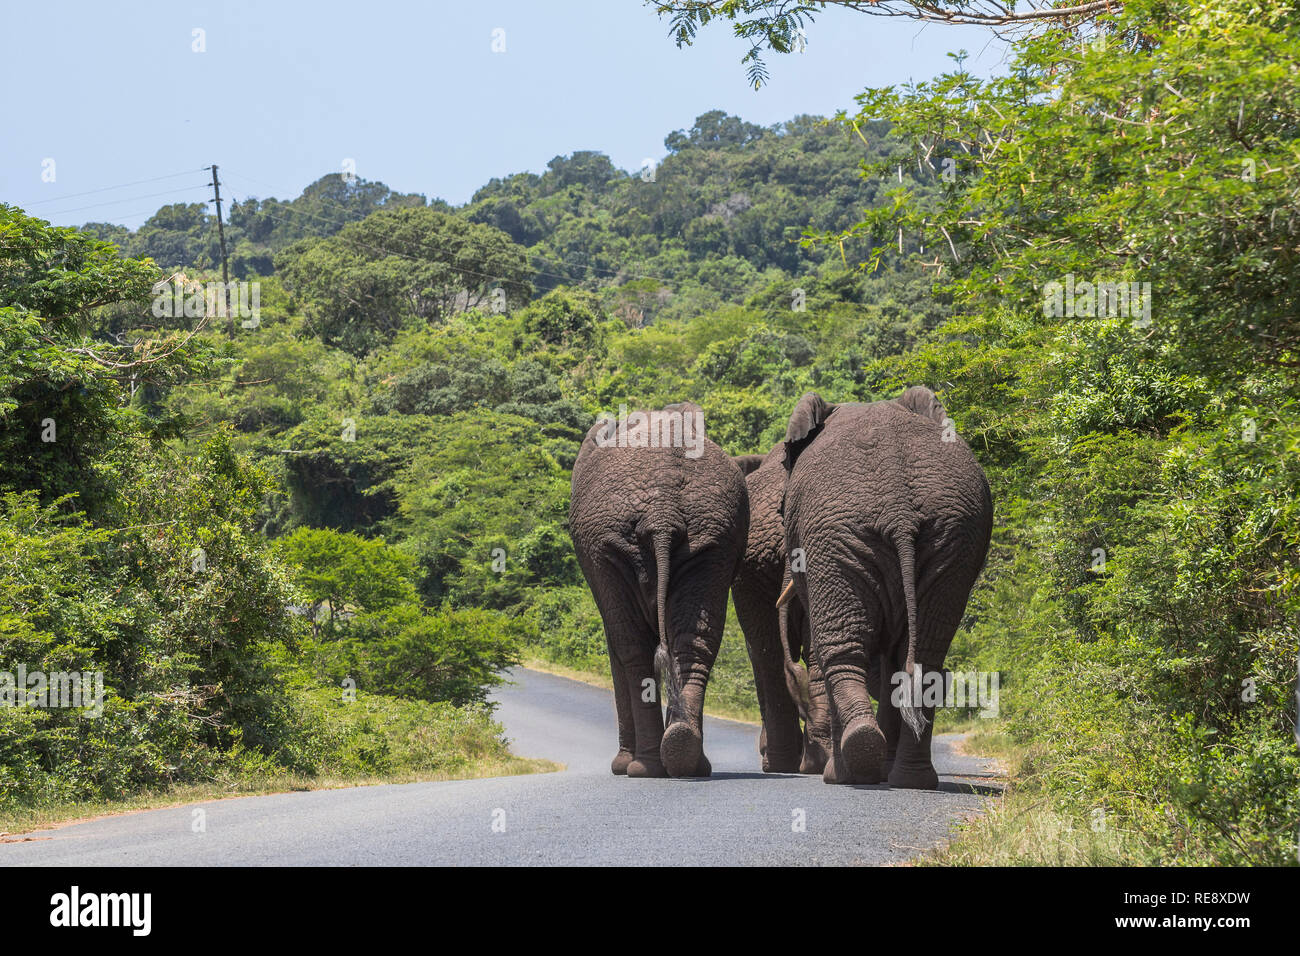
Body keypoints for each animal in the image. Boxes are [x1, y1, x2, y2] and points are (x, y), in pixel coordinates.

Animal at [568, 402, 749, 778]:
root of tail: (663, 510)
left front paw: (623, 766)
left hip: (608, 543)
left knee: (632, 647)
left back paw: (644, 767)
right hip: (716, 536)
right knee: (695, 643)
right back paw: (685, 756)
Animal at [778, 386, 993, 789]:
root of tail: (900, 513)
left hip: (834, 542)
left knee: (841, 653)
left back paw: (847, 772)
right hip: (955, 540)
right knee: (926, 657)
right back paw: (911, 780)